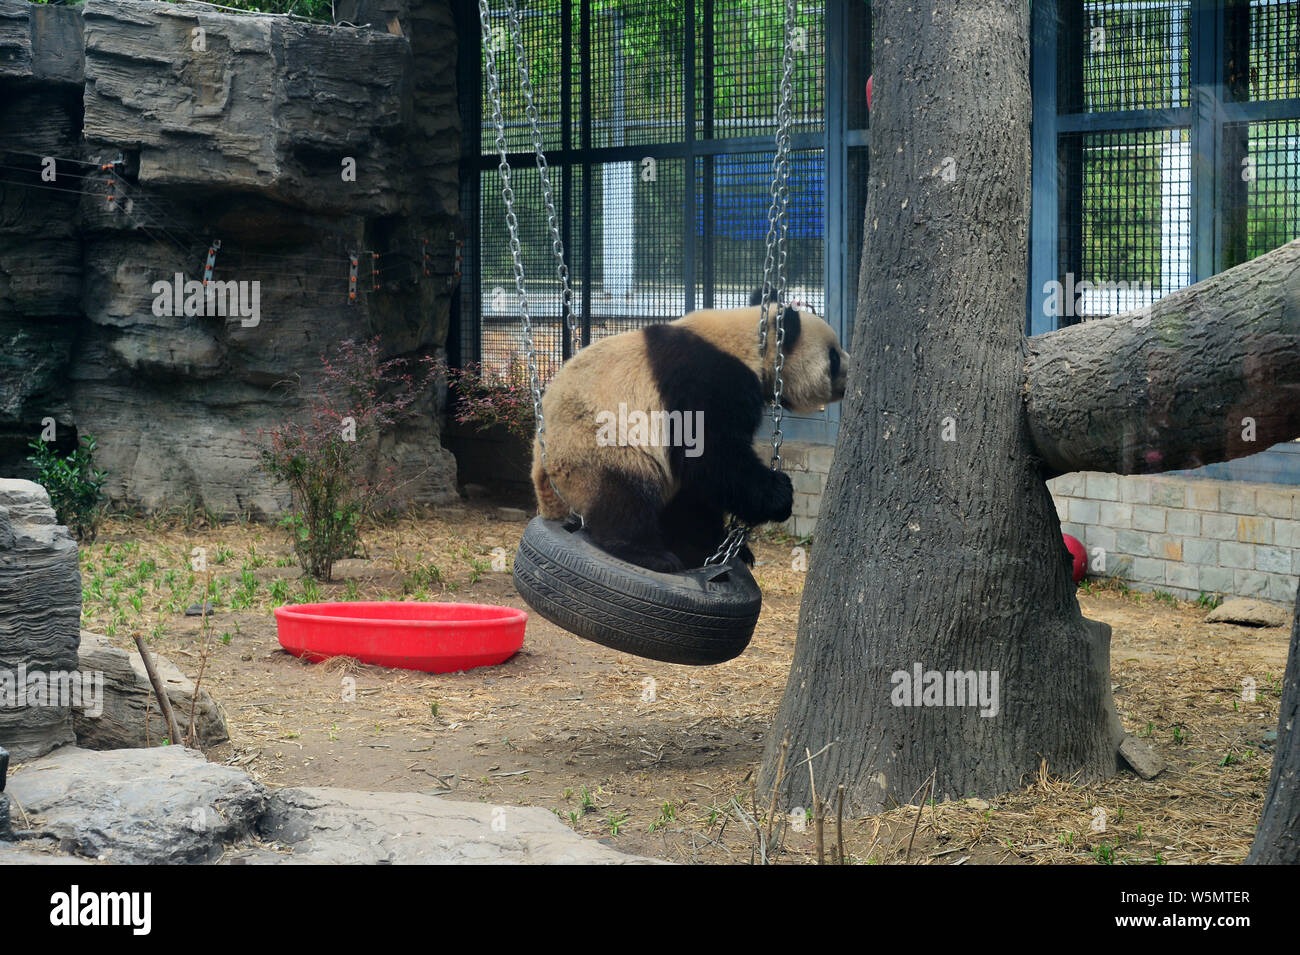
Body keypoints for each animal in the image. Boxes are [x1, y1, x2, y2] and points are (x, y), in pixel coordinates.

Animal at [531, 293, 848, 573]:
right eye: (833, 356)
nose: (849, 370)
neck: (747, 341)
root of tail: (545, 485)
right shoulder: (707, 381)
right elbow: (711, 455)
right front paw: (779, 494)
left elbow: (702, 478)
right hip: (594, 447)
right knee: (624, 495)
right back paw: (650, 554)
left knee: (679, 501)